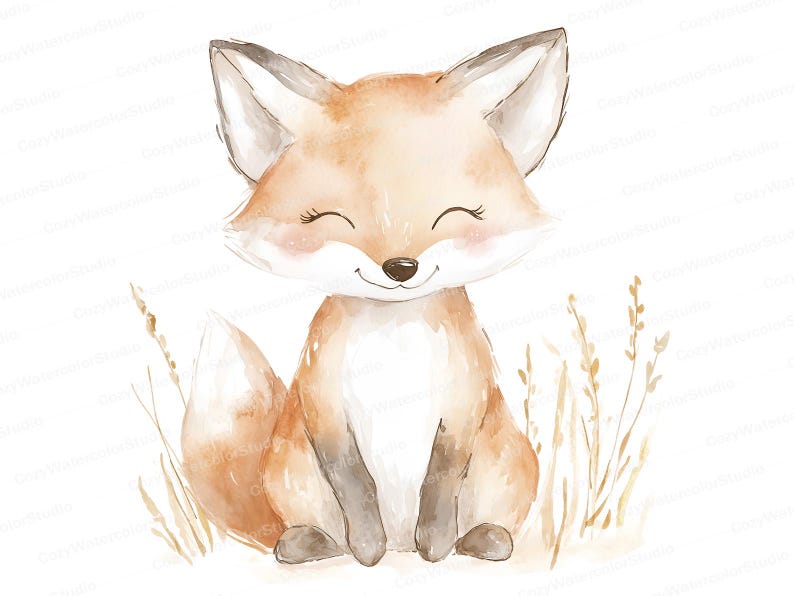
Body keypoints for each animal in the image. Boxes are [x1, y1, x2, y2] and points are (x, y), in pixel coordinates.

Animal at [180, 28, 568, 566]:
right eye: (332, 219)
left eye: (455, 214)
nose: (400, 268)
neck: (395, 337)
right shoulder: (322, 403)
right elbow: (353, 483)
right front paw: (367, 548)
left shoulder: (465, 401)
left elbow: (442, 479)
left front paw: (436, 546)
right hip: (290, 470)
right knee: (310, 527)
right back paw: (311, 544)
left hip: (508, 464)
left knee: (490, 516)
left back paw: (482, 540)